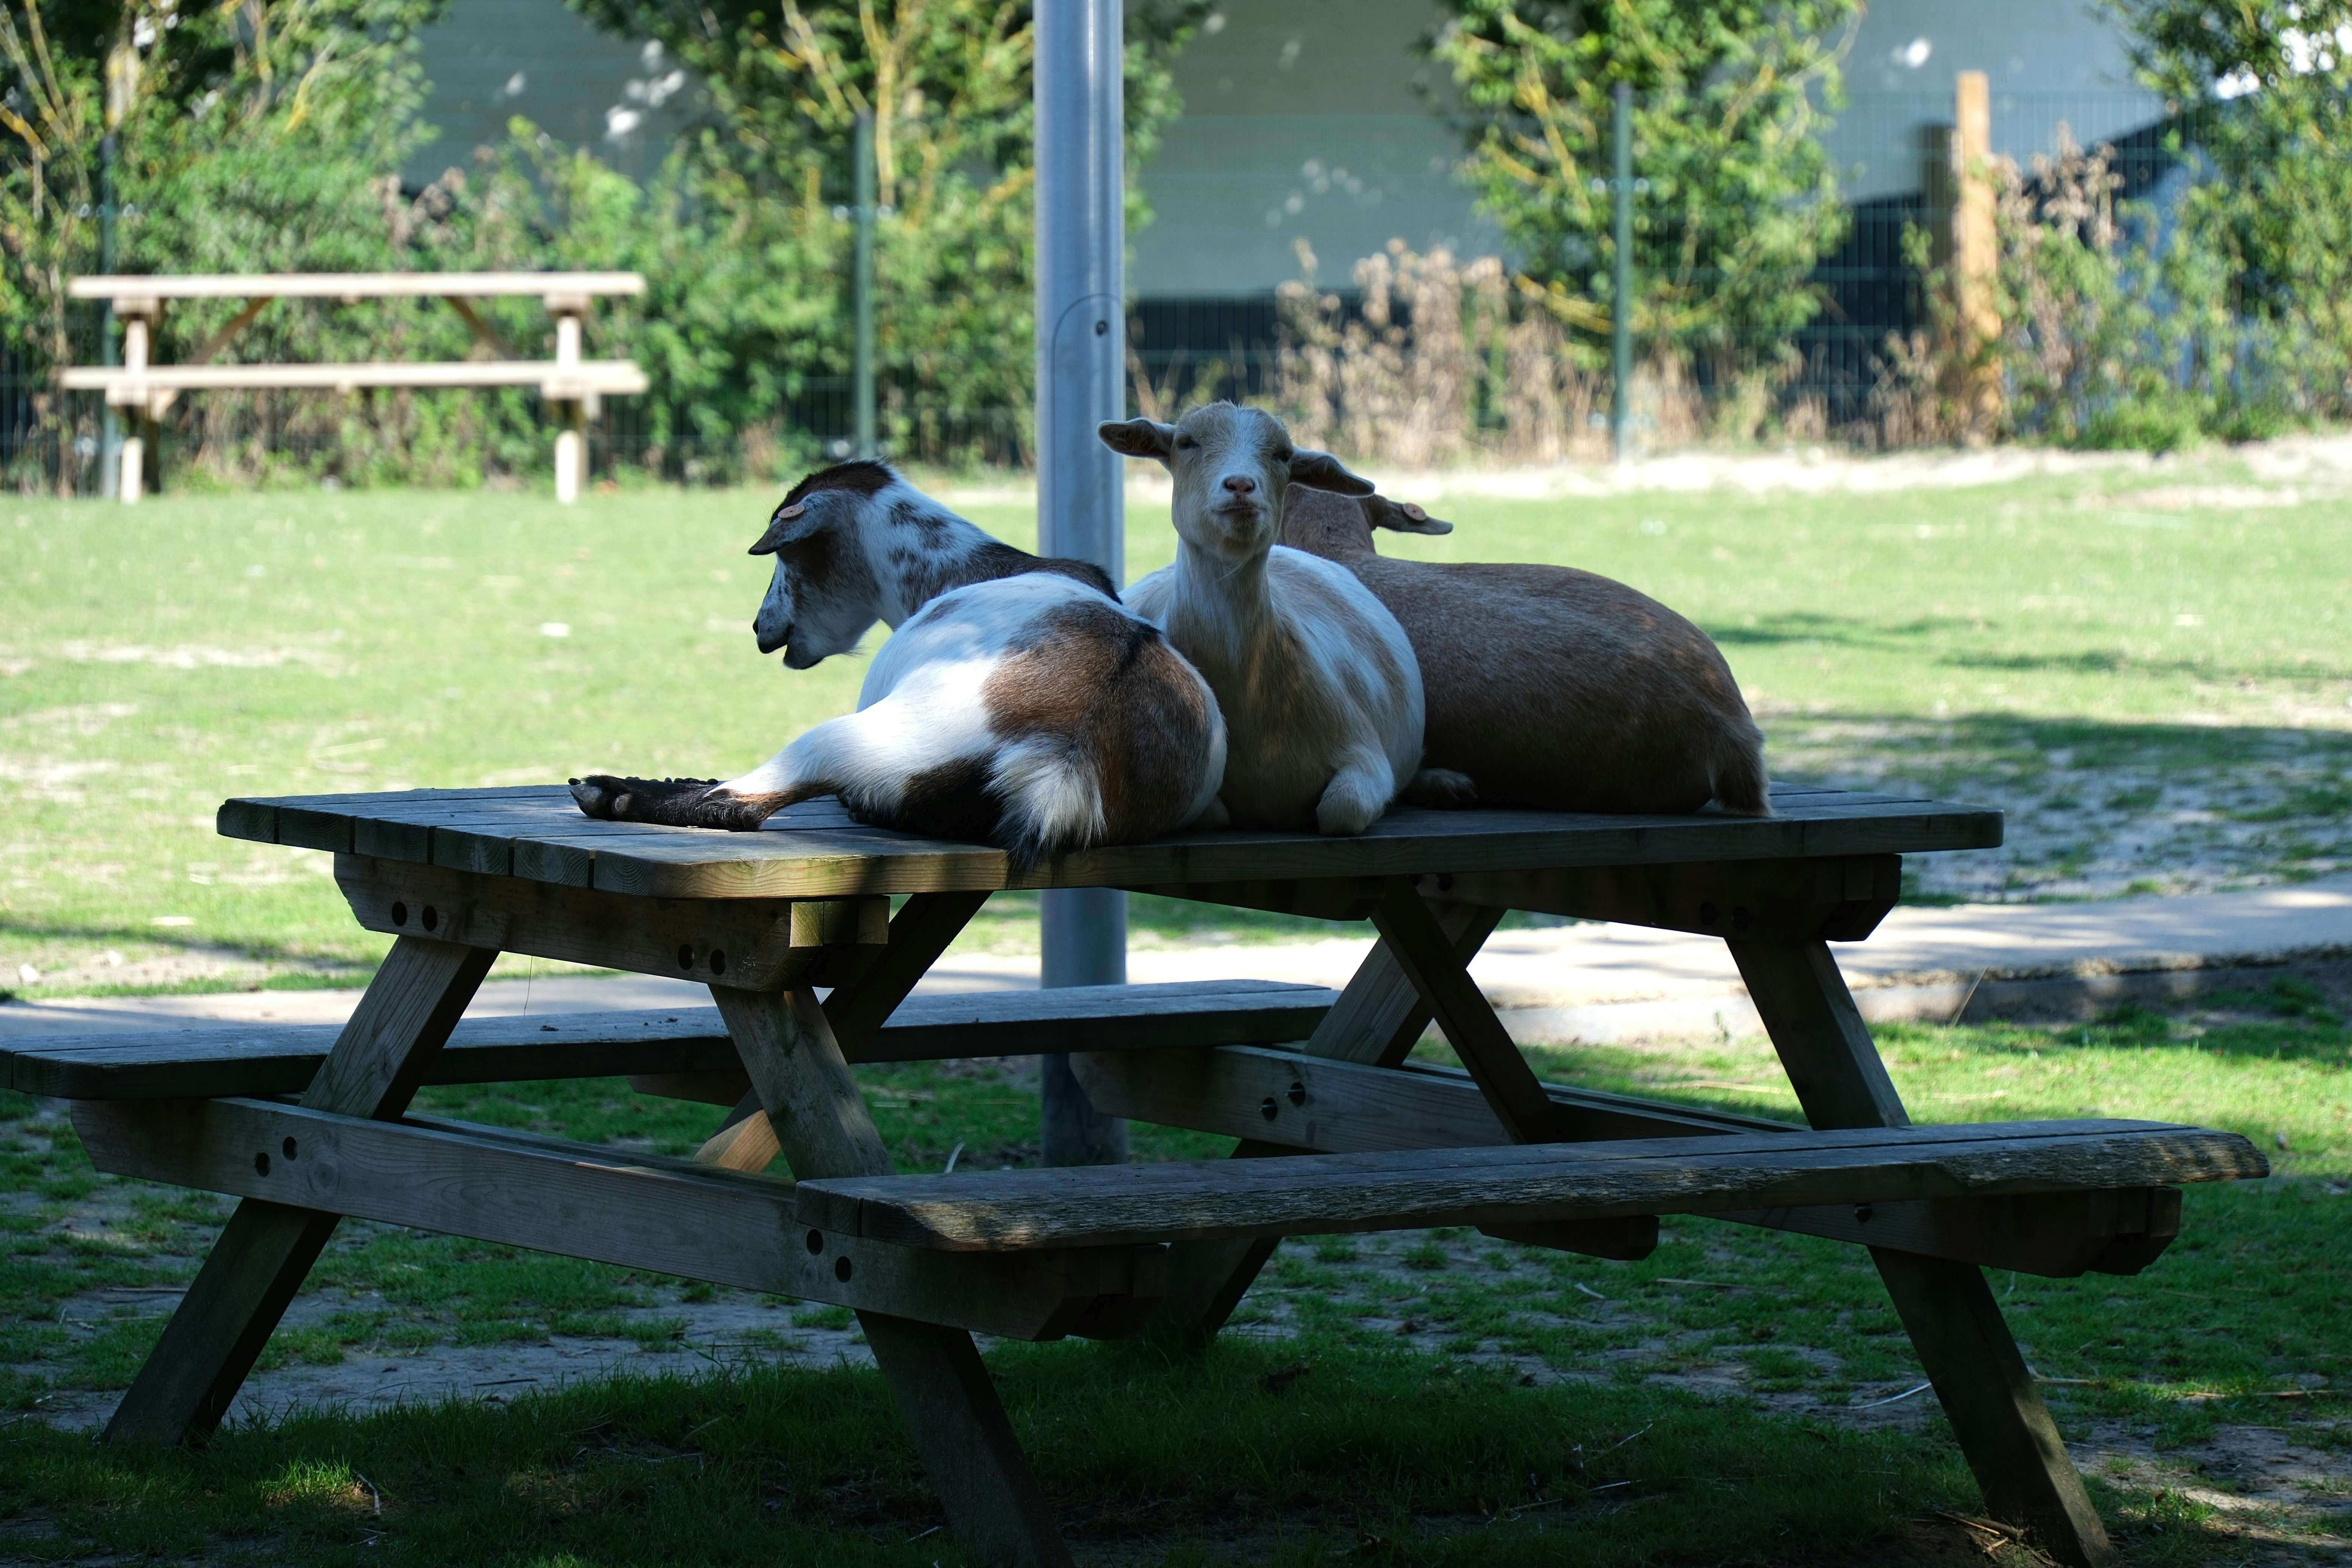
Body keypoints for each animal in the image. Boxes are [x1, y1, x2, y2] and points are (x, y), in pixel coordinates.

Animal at [569, 460, 1227, 867]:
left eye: (785, 557)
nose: (760, 628)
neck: (963, 572)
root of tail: (1067, 752)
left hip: (865, 738)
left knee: (742, 802)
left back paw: (608, 793)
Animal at [1100, 403, 1458, 836]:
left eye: (1284, 455)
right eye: (1186, 443)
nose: (1240, 485)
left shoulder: (1363, 749)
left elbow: (1342, 809)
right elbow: (1216, 815)